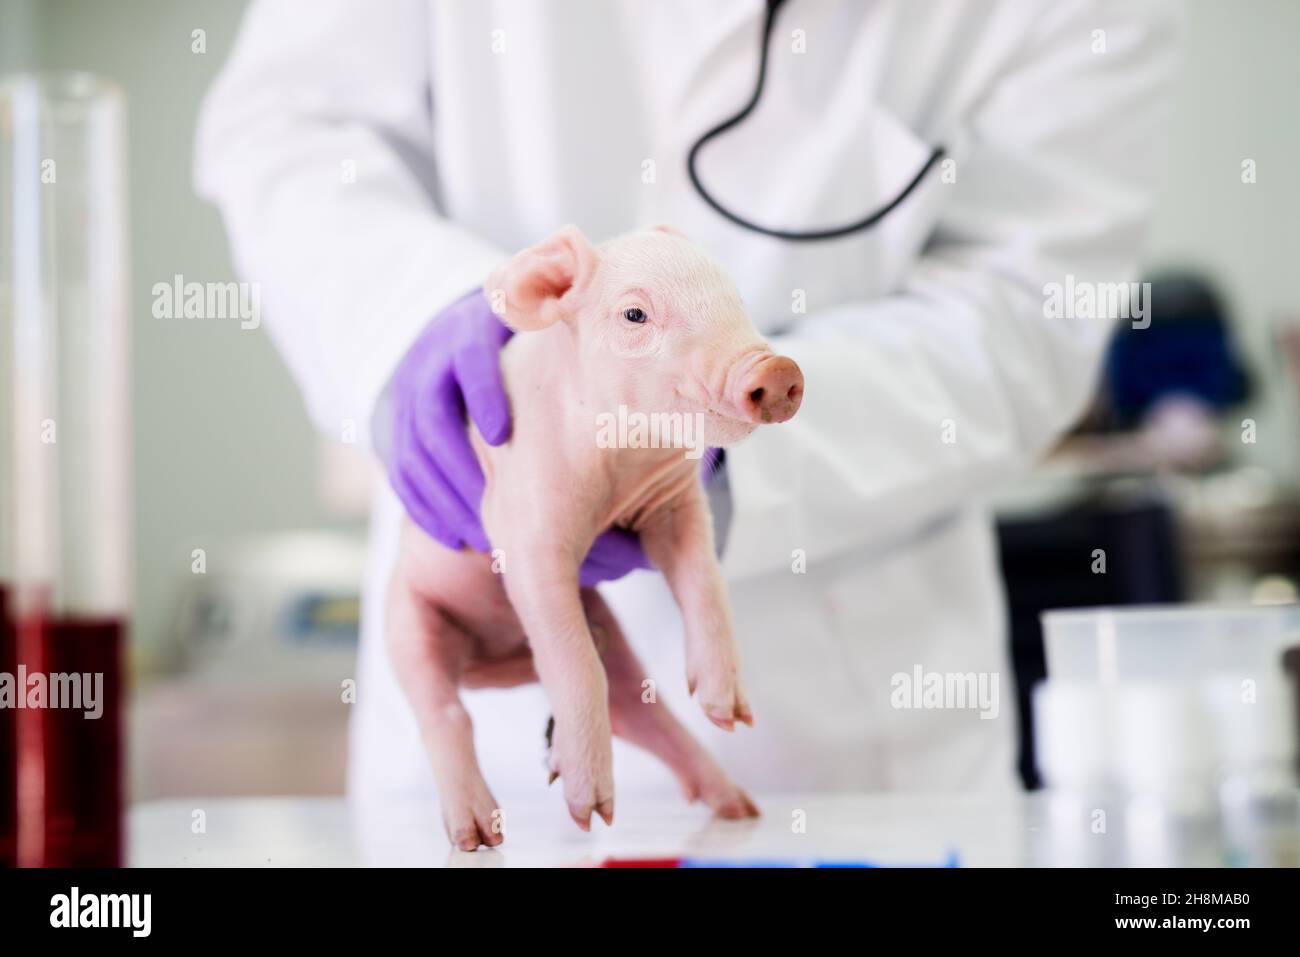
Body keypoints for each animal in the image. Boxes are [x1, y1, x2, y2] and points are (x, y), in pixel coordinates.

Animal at [386, 224, 804, 850]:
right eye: (635, 313)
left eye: (734, 298)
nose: (776, 370)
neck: (623, 465)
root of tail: (496, 663)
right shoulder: (526, 532)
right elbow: (574, 658)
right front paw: (579, 811)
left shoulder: (677, 506)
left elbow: (706, 584)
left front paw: (731, 711)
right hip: (407, 621)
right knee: (444, 711)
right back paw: (485, 836)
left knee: (644, 710)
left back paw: (736, 806)